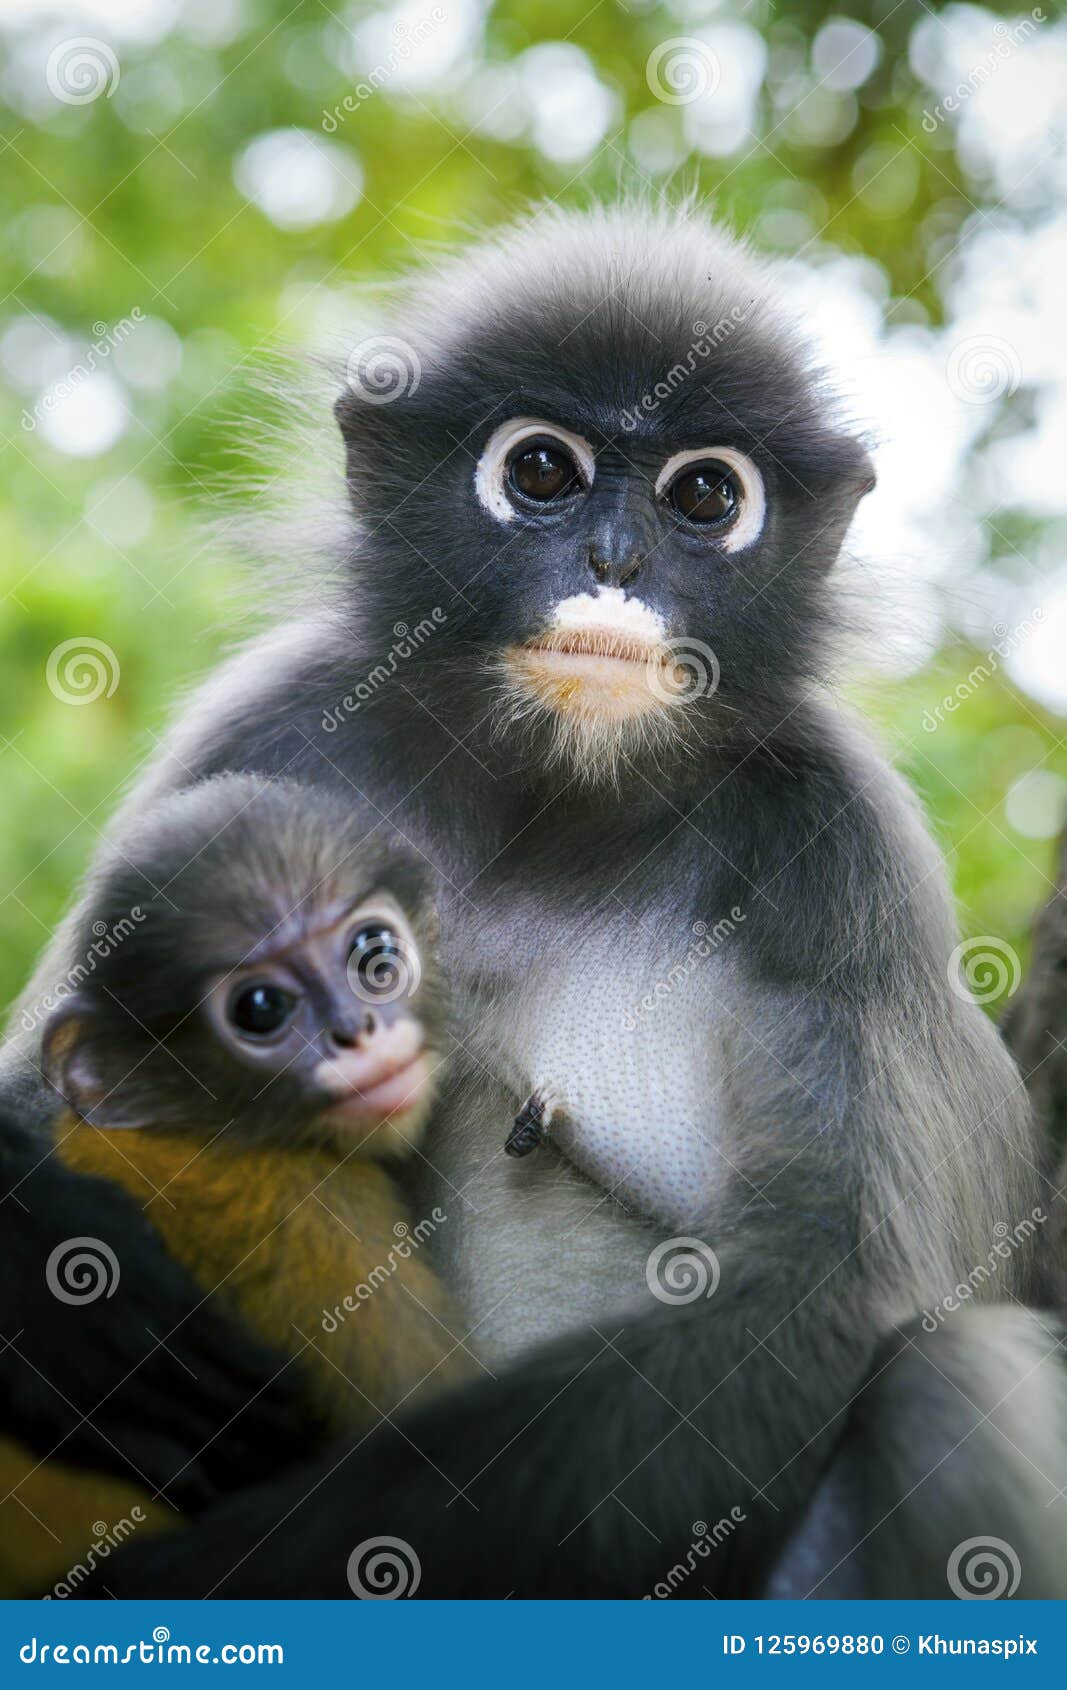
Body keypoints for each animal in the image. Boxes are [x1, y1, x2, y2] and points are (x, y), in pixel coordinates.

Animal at [6, 200, 1067, 1598]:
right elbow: (51, 1084)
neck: (550, 804)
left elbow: (800, 1310)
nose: (613, 557)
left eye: (706, 494)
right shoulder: (259, 731)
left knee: (946, 1376)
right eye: (543, 472)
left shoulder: (844, 858)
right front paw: (53, 1299)